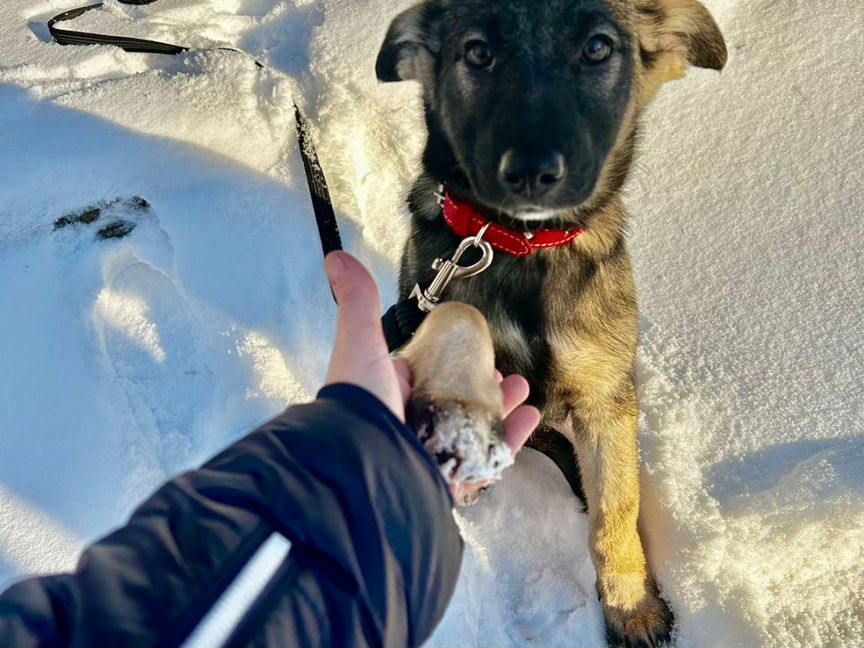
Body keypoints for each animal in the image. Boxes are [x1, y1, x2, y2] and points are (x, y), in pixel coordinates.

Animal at [374, 2, 724, 644]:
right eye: (478, 52)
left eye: (597, 48)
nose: (532, 171)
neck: (519, 246)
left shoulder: (606, 394)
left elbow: (616, 512)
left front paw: (632, 606)